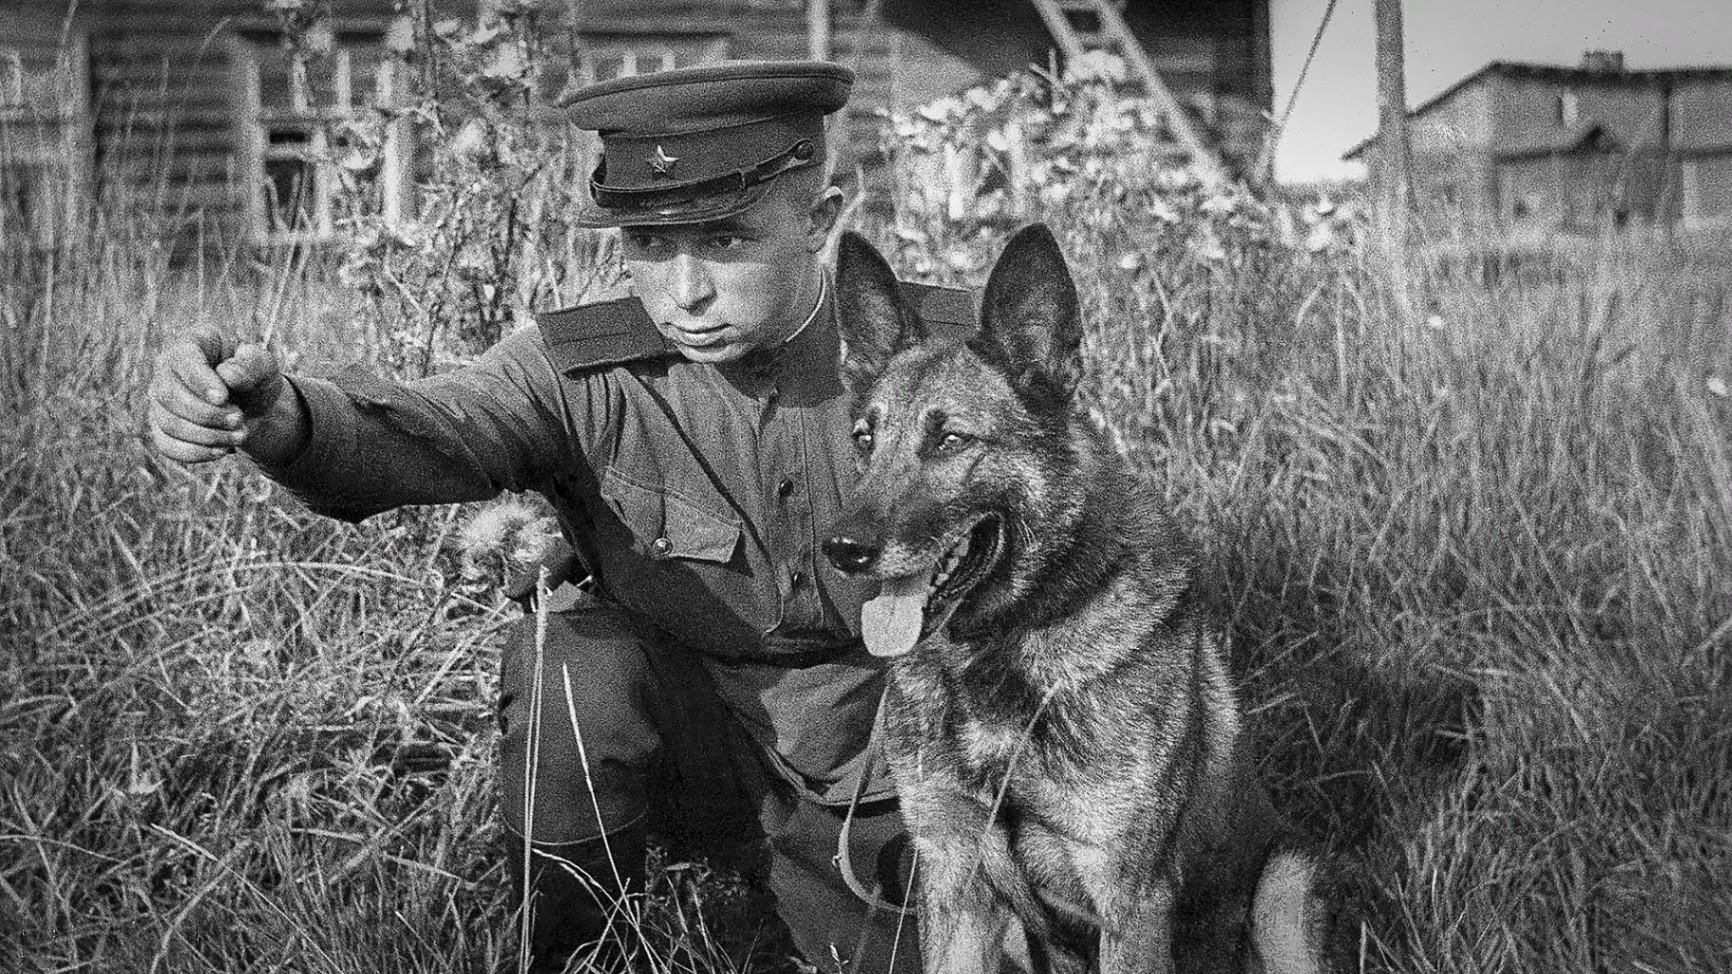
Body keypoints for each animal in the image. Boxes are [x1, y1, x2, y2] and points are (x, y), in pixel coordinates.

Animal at [824, 225, 1323, 970]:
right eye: (866, 439)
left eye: (950, 440)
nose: (842, 548)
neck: (999, 651)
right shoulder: (955, 881)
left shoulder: (1130, 900)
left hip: (1286, 884)